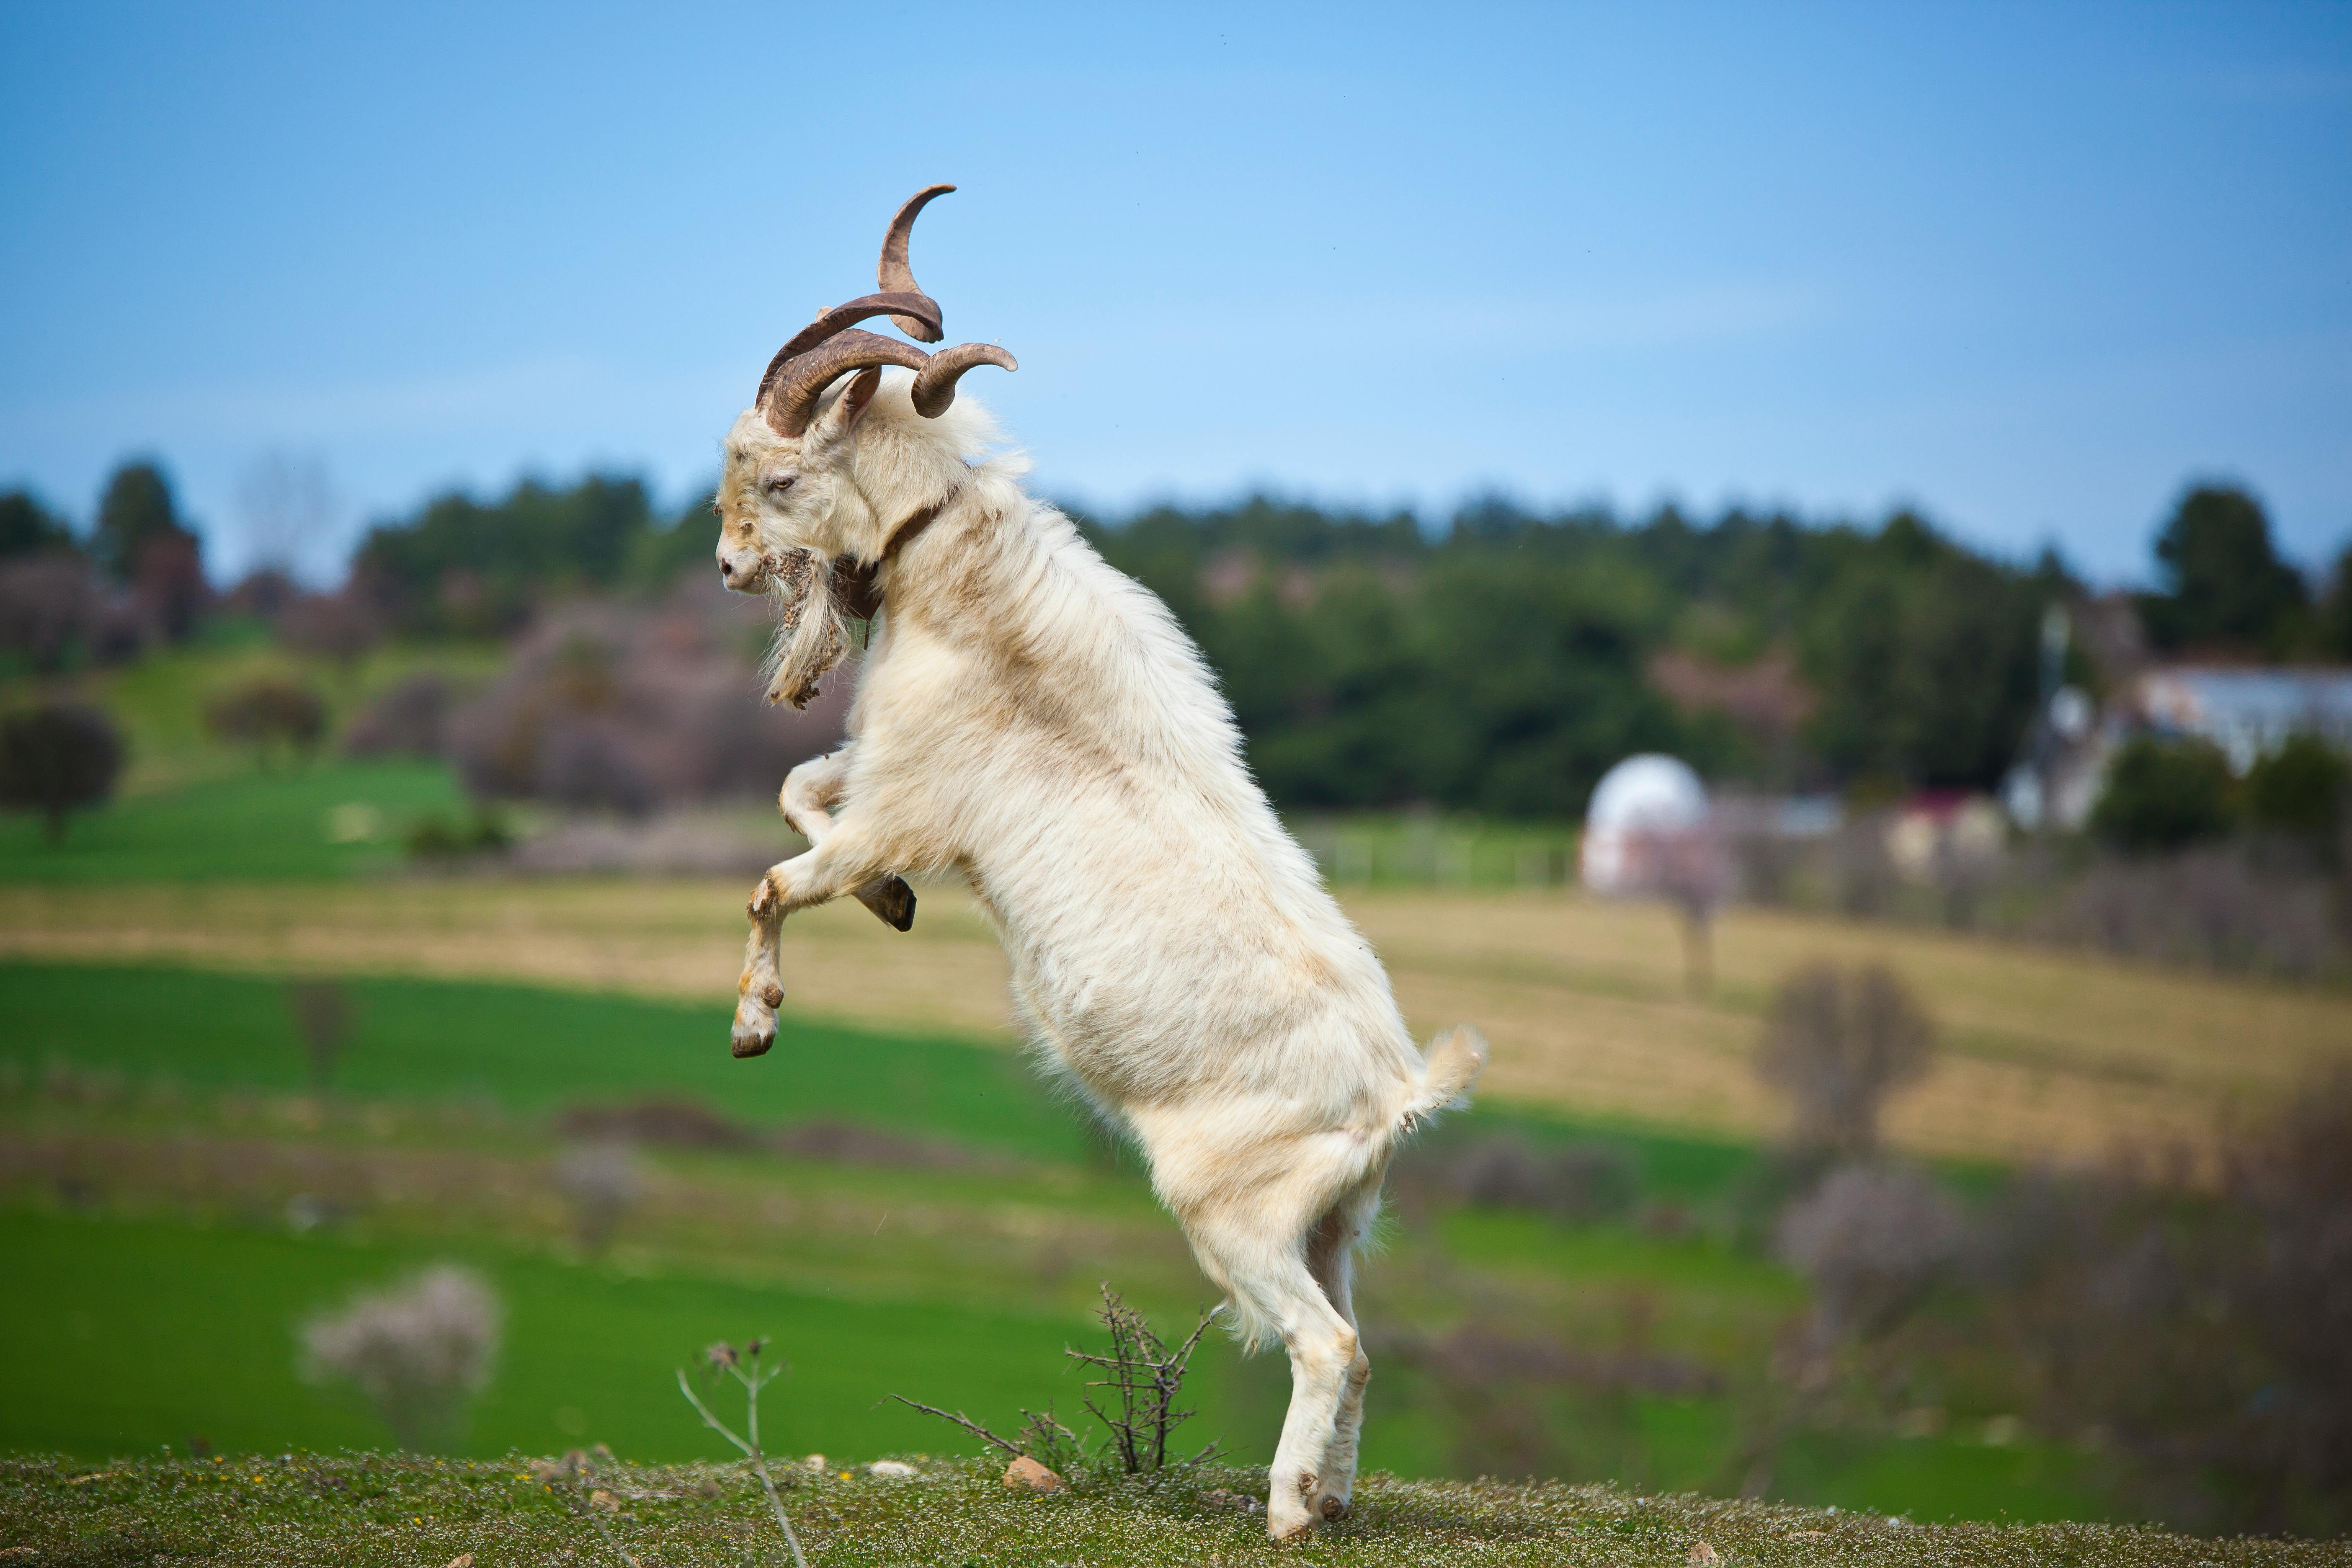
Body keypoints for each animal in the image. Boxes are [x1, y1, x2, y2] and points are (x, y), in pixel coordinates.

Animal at [712, 186, 1487, 1541]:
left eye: (784, 472)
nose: (727, 564)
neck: (961, 579)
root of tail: (1391, 1098)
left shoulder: (910, 791)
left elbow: (779, 874)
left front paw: (758, 1020)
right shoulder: (887, 781)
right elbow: (802, 791)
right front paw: (894, 905)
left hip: (1233, 1214)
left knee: (1326, 1345)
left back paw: (1286, 1513)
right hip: (1333, 1224)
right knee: (1361, 1342)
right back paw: (1330, 1498)